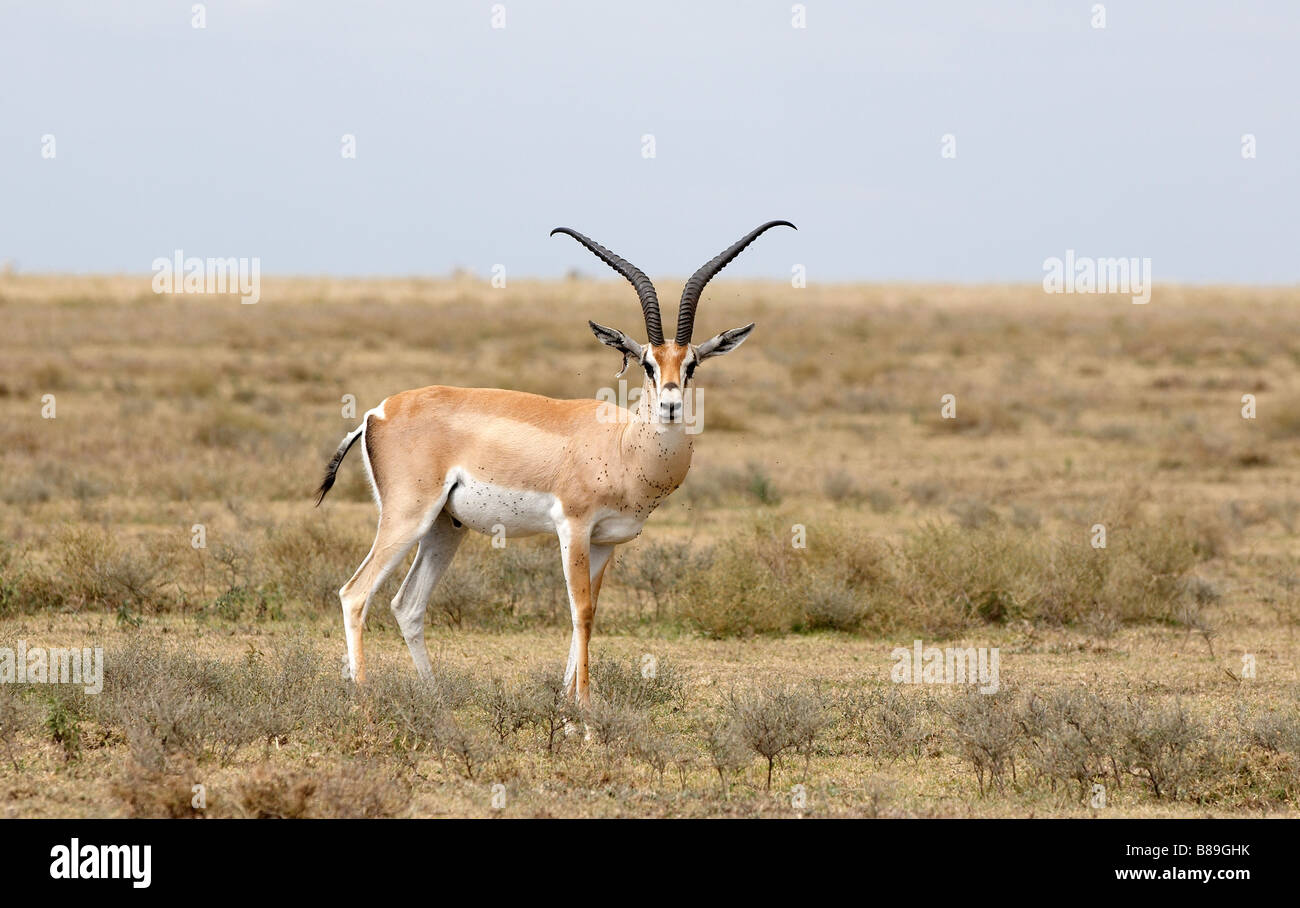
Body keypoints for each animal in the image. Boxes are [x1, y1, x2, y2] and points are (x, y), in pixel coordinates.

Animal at [315, 220, 795, 704]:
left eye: (692, 364)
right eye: (647, 364)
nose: (671, 406)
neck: (622, 446)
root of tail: (377, 412)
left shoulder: (606, 542)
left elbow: (592, 612)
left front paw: (566, 697)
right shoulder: (573, 528)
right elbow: (579, 610)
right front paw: (581, 705)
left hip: (444, 527)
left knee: (407, 604)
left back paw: (436, 698)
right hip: (407, 517)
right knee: (354, 593)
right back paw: (362, 694)